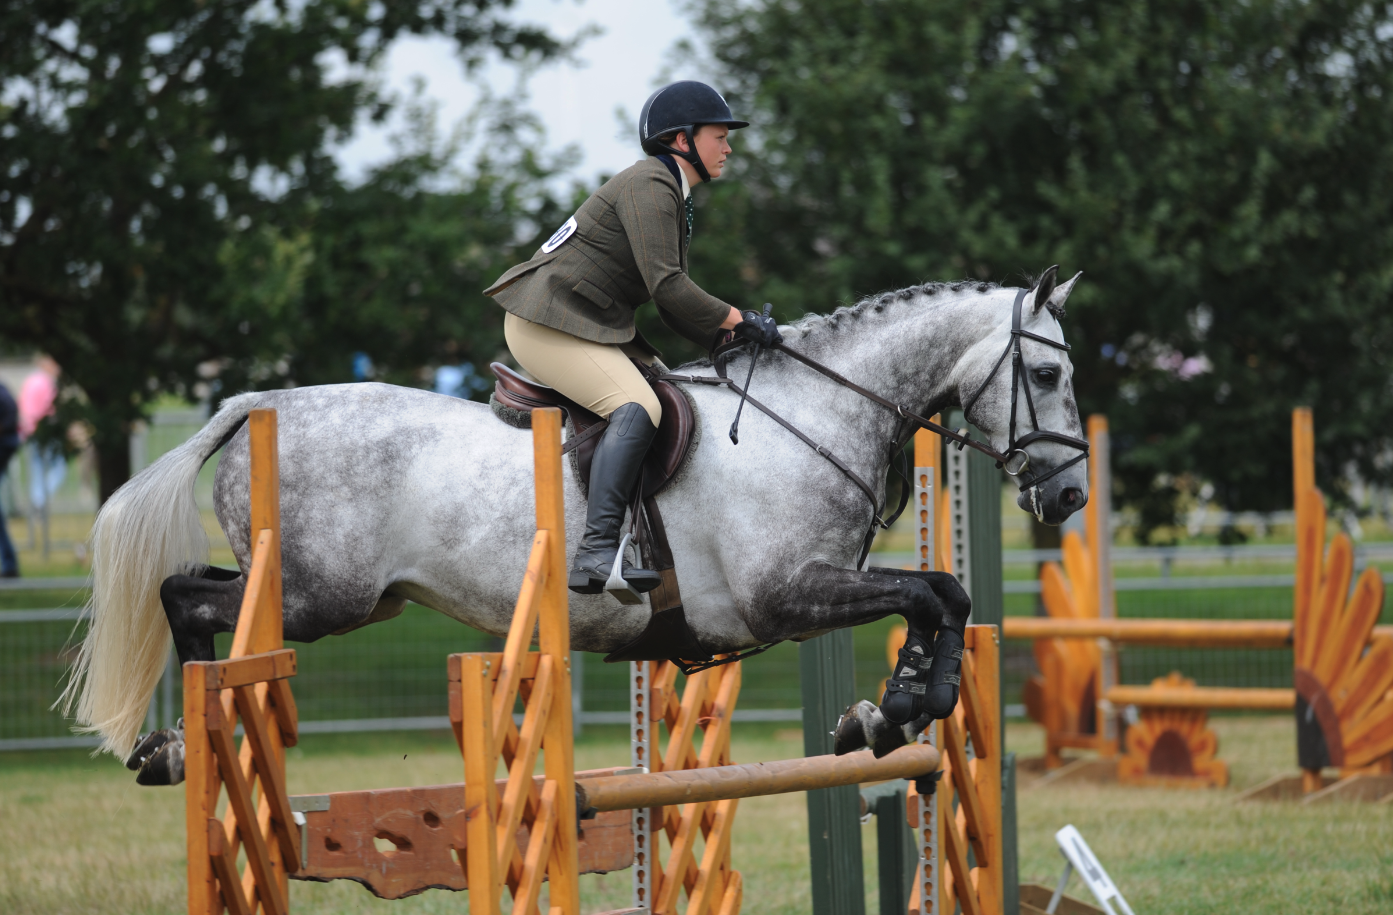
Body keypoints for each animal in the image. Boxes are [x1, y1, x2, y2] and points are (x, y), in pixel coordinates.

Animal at [60, 268, 1089, 780]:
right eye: (1046, 374)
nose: (1071, 497)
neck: (813, 412)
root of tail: (257, 404)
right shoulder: (783, 596)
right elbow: (930, 591)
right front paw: (897, 707)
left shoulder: (812, 592)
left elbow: (939, 595)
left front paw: (894, 706)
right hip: (323, 595)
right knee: (188, 598)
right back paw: (175, 745)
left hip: (342, 597)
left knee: (201, 598)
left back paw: (173, 746)